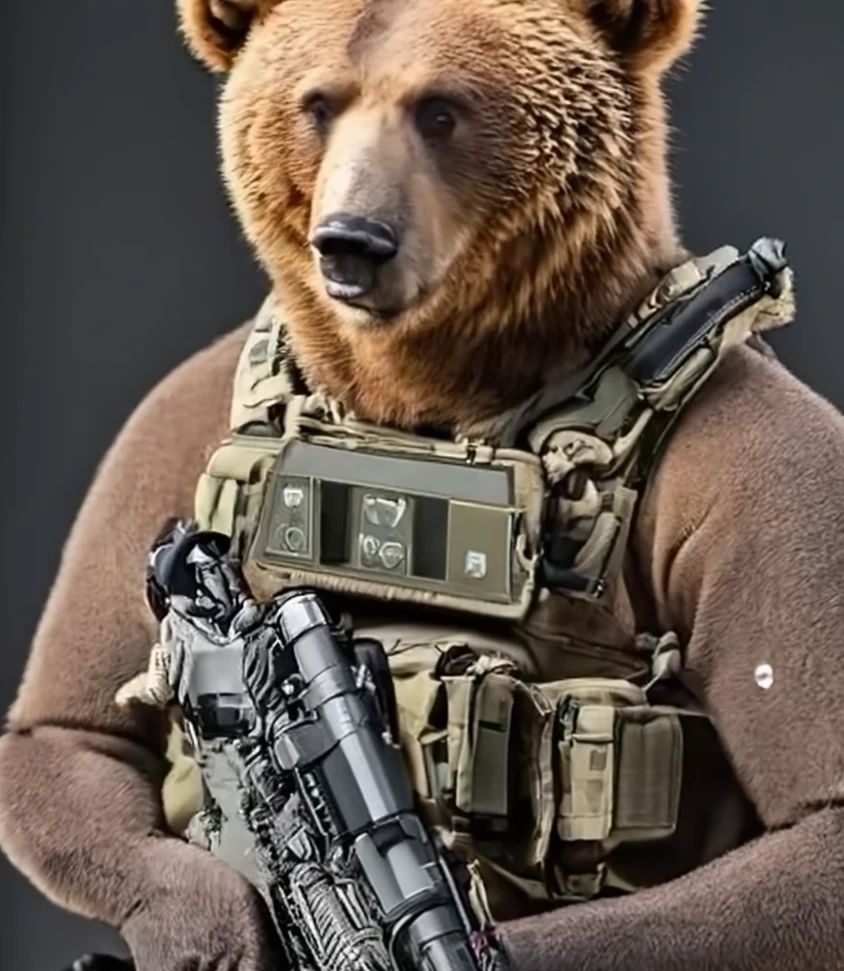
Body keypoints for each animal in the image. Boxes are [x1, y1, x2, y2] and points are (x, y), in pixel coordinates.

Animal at [1, 0, 844, 969]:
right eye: (316, 107)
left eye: (442, 113)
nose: (348, 244)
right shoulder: (168, 410)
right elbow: (59, 735)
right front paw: (208, 920)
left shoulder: (773, 465)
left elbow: (820, 838)